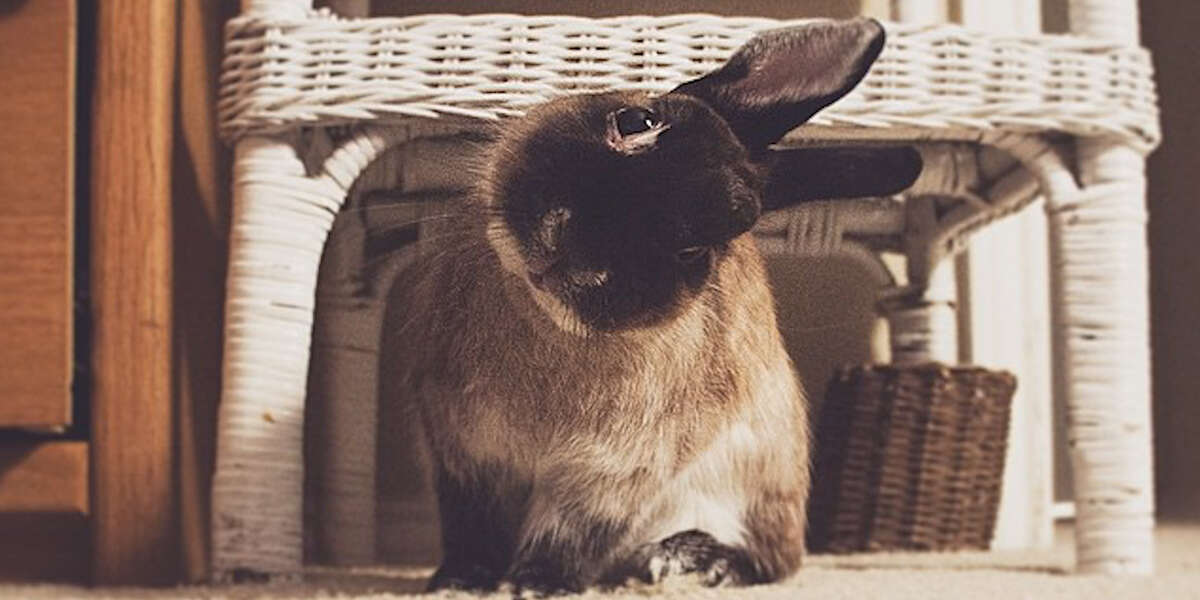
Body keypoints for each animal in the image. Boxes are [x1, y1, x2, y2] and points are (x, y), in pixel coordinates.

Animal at [378, 17, 921, 597]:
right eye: (637, 120)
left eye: (693, 251)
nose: (575, 250)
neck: (540, 315)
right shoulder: (462, 449)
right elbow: (470, 526)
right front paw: (460, 582)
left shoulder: (612, 473)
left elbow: (567, 533)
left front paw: (538, 585)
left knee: (770, 564)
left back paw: (683, 562)